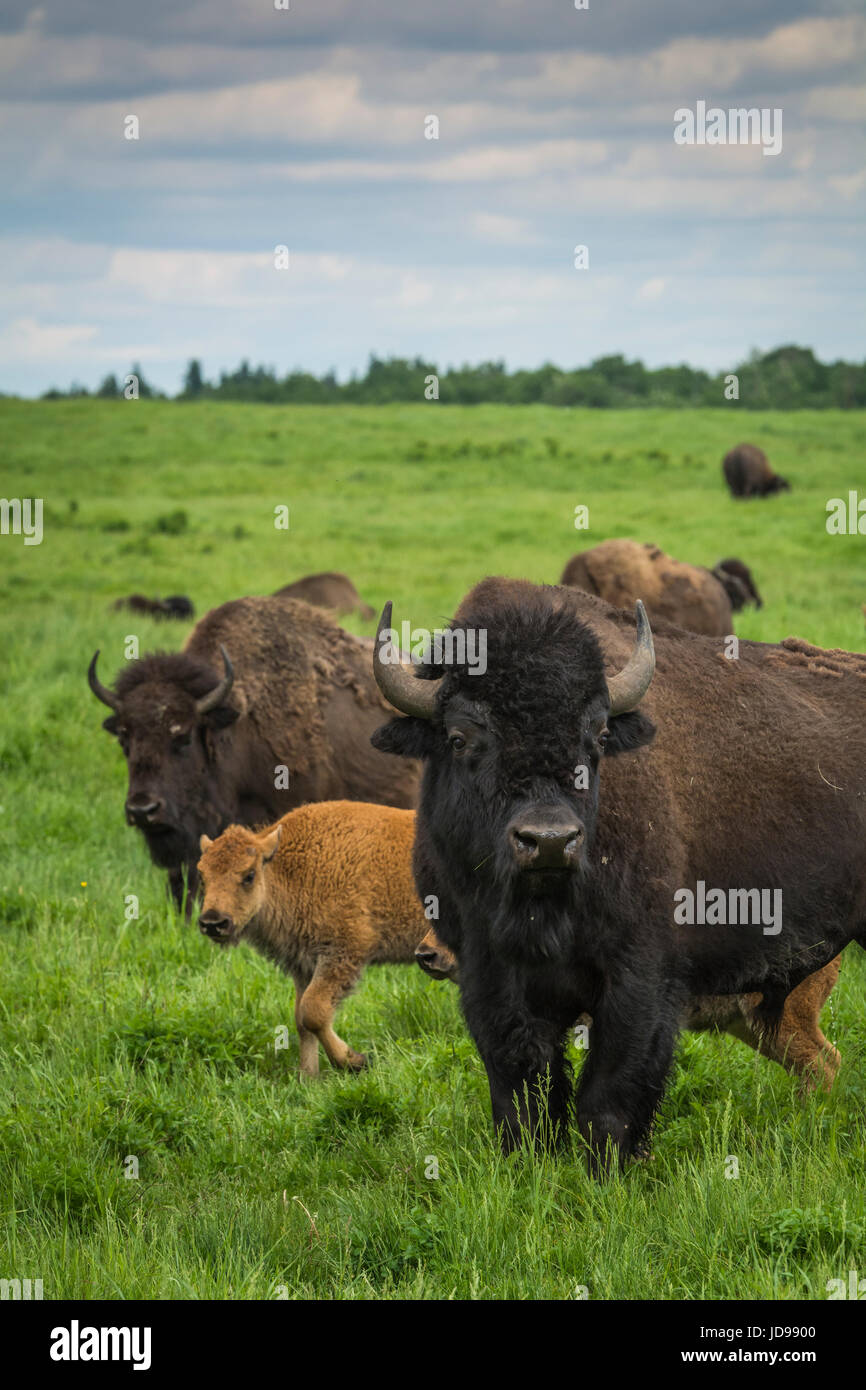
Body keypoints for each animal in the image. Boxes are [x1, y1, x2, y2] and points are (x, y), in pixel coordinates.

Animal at [371, 578, 866, 1174]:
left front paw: (609, 1173)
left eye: (600, 736)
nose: (549, 840)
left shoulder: (640, 980)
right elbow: (522, 1090)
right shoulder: (487, 978)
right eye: (460, 738)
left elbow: (609, 1096)